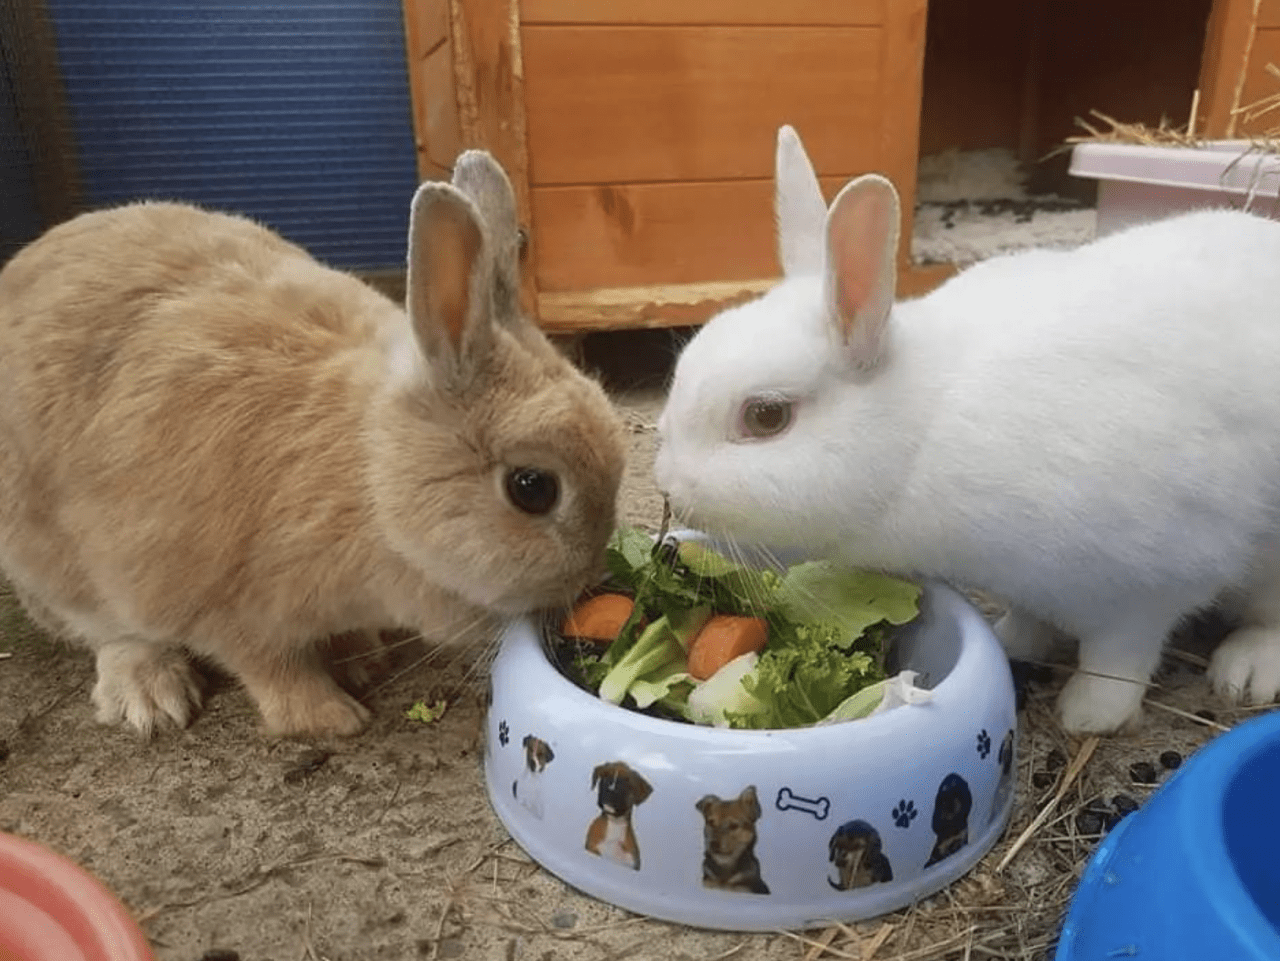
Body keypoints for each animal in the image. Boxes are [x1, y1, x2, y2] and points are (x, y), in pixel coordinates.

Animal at [0, 150, 626, 738]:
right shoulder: (230, 607)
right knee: (106, 630)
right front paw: (328, 716)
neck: (371, 484)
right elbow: (271, 666)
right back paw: (151, 694)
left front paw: (362, 658)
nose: (589, 582)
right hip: (50, 562)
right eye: (532, 487)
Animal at [654, 124, 1280, 736]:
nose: (667, 489)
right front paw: (1013, 639)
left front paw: (1087, 715)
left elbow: (1120, 657)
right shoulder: (1035, 585)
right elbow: (1035, 616)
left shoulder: (1152, 581)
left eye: (766, 417)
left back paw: (1244, 672)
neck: (918, 437)